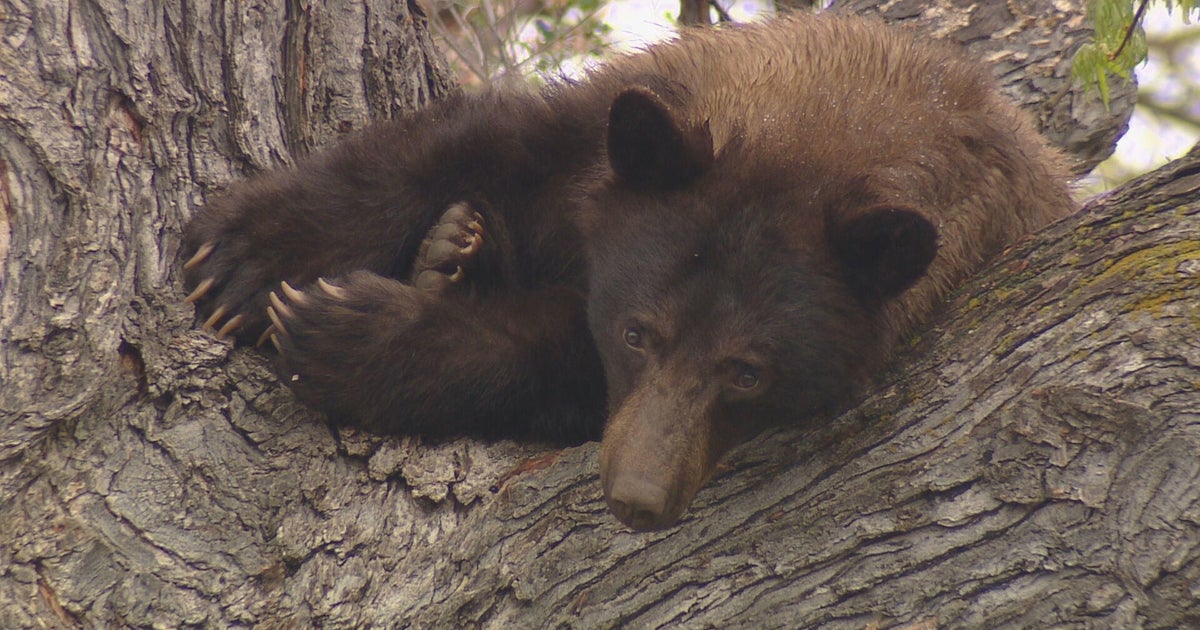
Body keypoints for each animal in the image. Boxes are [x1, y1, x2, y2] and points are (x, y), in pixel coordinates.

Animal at [181, 13, 1076, 531]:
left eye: (749, 372)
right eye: (639, 331)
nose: (638, 498)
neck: (820, 130)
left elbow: (555, 362)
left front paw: (349, 333)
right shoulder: (643, 115)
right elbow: (471, 140)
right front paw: (242, 260)